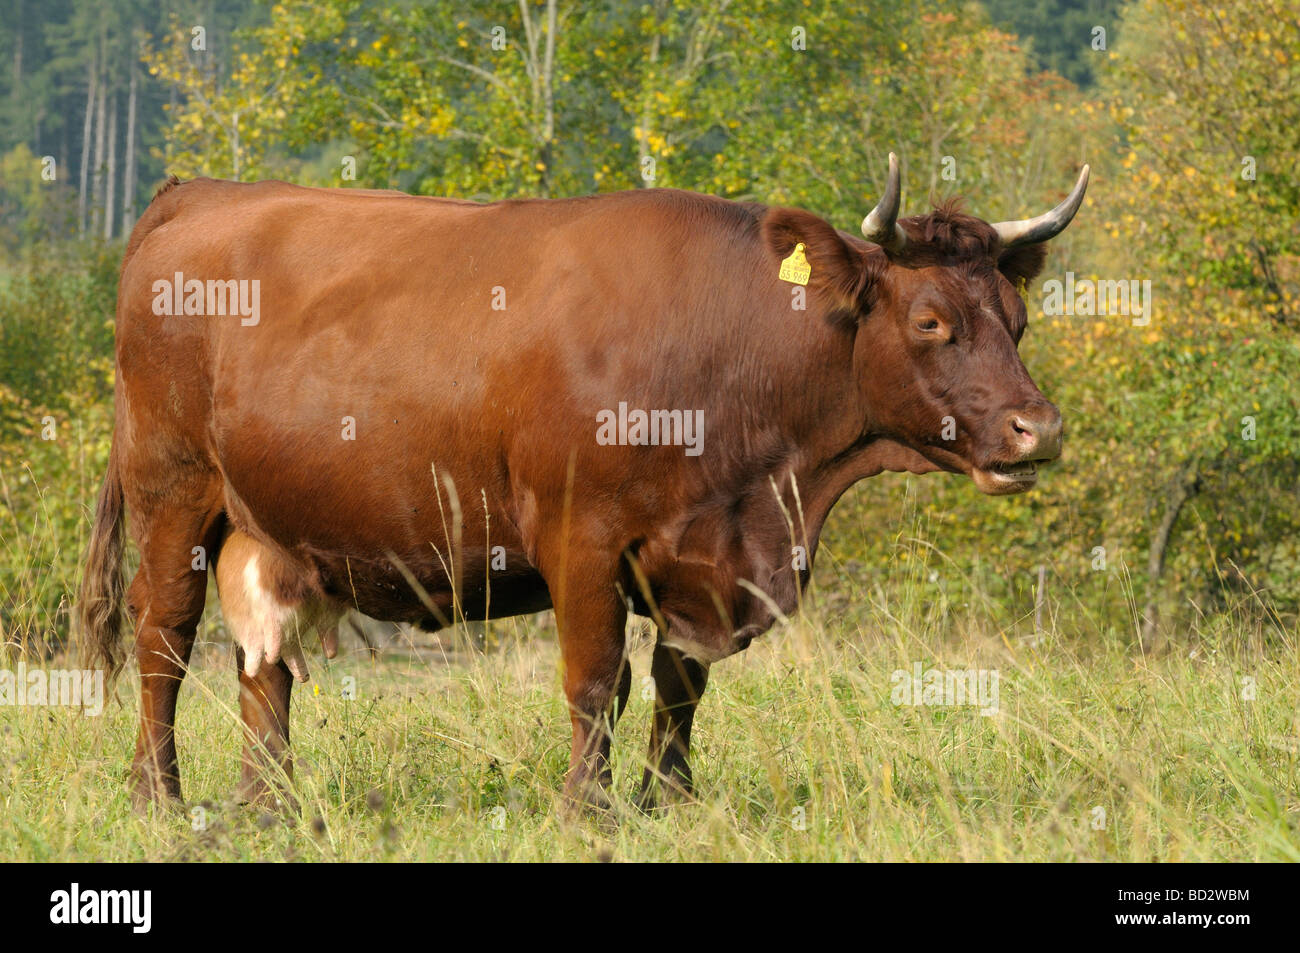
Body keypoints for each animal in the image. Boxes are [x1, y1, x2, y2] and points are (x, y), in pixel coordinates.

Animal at [78, 153, 1087, 811]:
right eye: (930, 321)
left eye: (1018, 317)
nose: (1038, 428)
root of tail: (200, 190)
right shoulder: (583, 533)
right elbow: (598, 677)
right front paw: (586, 808)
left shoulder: (703, 553)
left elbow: (681, 684)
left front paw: (667, 800)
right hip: (174, 493)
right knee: (164, 639)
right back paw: (159, 797)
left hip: (267, 523)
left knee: (265, 663)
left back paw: (274, 804)